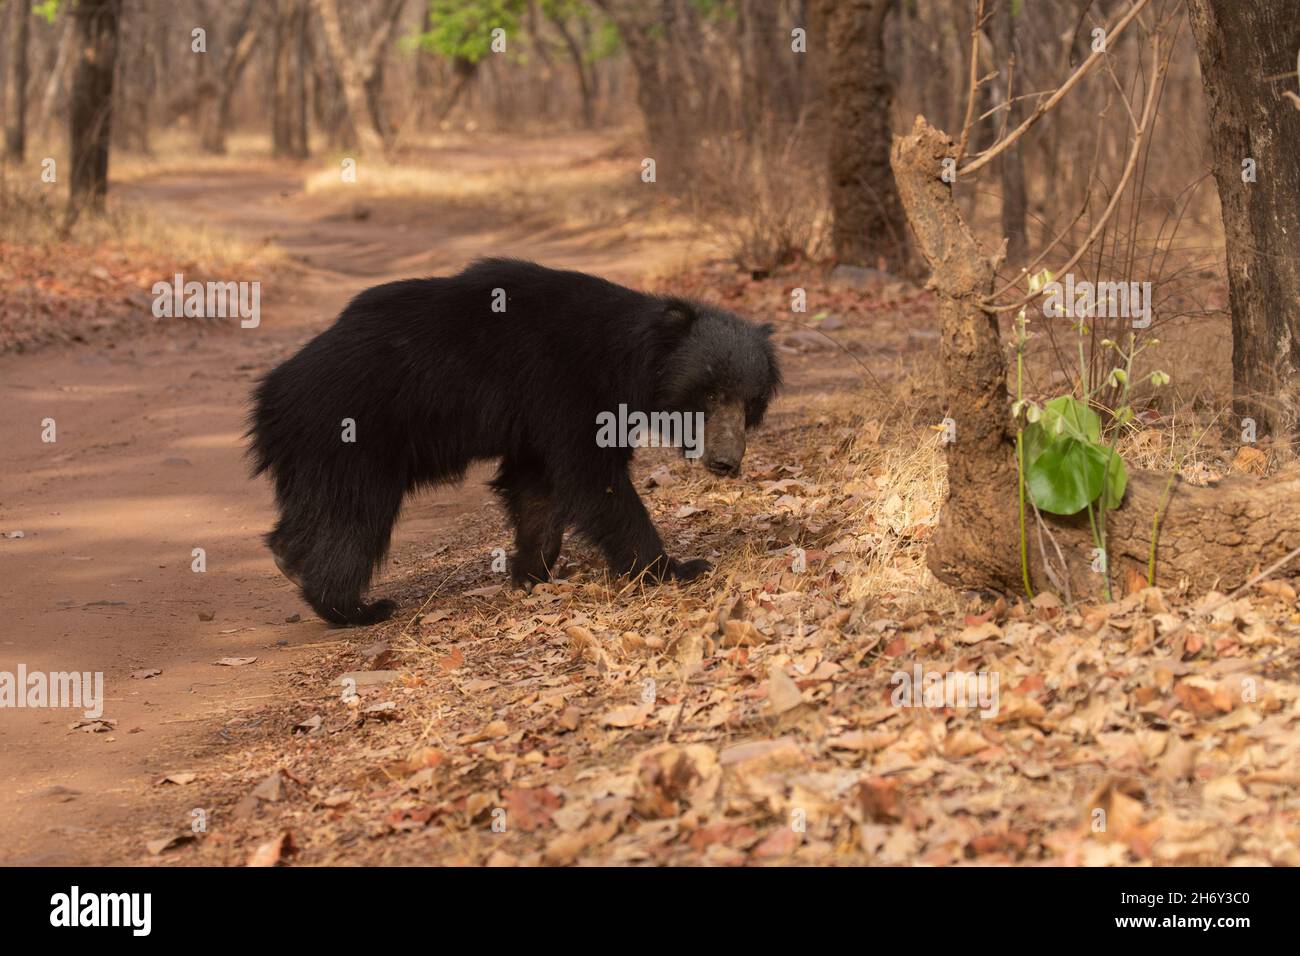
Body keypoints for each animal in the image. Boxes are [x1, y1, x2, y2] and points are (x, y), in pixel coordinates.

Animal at [247, 258, 781, 626]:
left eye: (750, 402)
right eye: (709, 394)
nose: (726, 462)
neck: (627, 355)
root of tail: (271, 394)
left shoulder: (535, 421)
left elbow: (536, 487)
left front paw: (528, 572)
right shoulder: (565, 388)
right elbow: (594, 482)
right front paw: (676, 569)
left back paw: (288, 559)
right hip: (351, 435)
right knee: (352, 523)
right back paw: (355, 607)